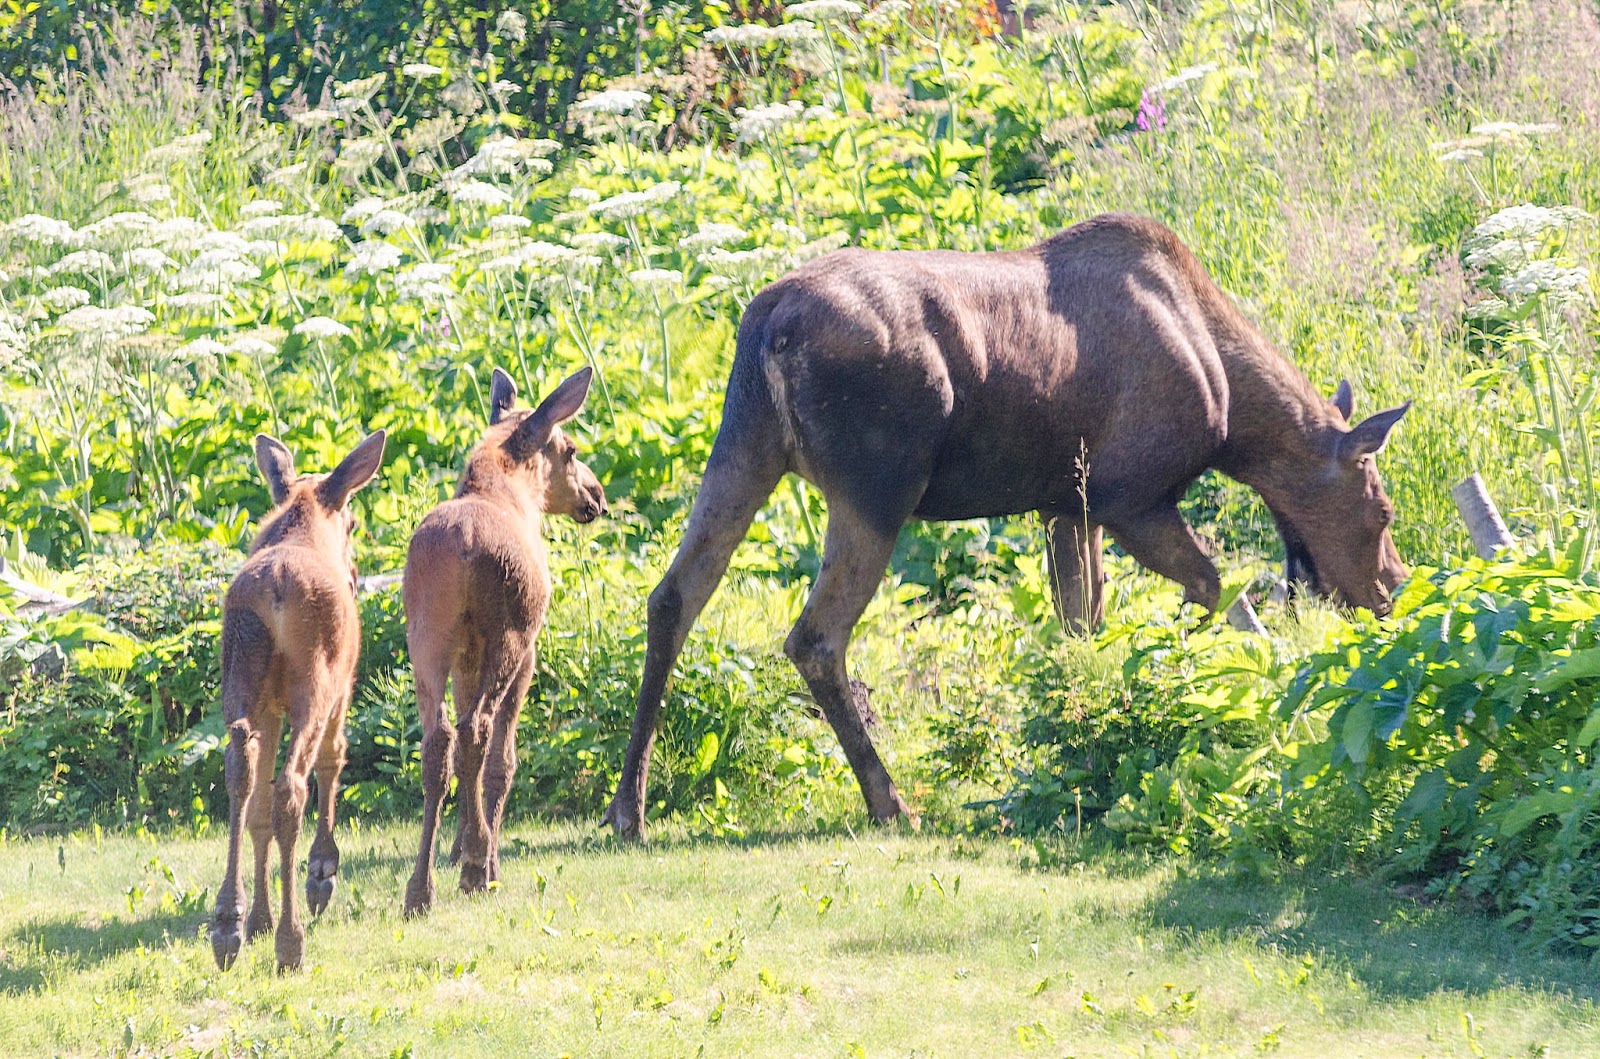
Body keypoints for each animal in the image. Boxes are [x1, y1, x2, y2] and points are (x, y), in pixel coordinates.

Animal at [210, 429, 387, 971]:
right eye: (353, 522)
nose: (355, 570)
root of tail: (277, 589)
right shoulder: (343, 685)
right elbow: (334, 760)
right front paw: (322, 871)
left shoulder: (268, 711)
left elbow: (258, 810)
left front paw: (258, 919)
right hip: (316, 685)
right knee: (293, 786)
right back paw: (291, 942)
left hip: (240, 688)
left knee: (242, 778)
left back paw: (228, 922)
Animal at [402, 366, 607, 916]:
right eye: (571, 450)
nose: (596, 497)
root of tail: (467, 548)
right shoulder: (527, 648)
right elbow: (503, 761)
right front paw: (484, 859)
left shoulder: (464, 659)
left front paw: (459, 847)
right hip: (507, 639)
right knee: (477, 733)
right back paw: (476, 869)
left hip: (426, 639)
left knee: (439, 741)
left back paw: (420, 888)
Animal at [602, 212, 1411, 840]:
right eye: (1383, 510)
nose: (1391, 589)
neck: (1236, 421)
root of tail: (766, 326)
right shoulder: (1129, 497)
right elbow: (1215, 591)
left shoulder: (1064, 505)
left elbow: (1083, 625)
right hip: (878, 486)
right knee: (814, 636)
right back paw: (890, 802)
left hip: (746, 445)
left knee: (673, 597)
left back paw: (627, 809)